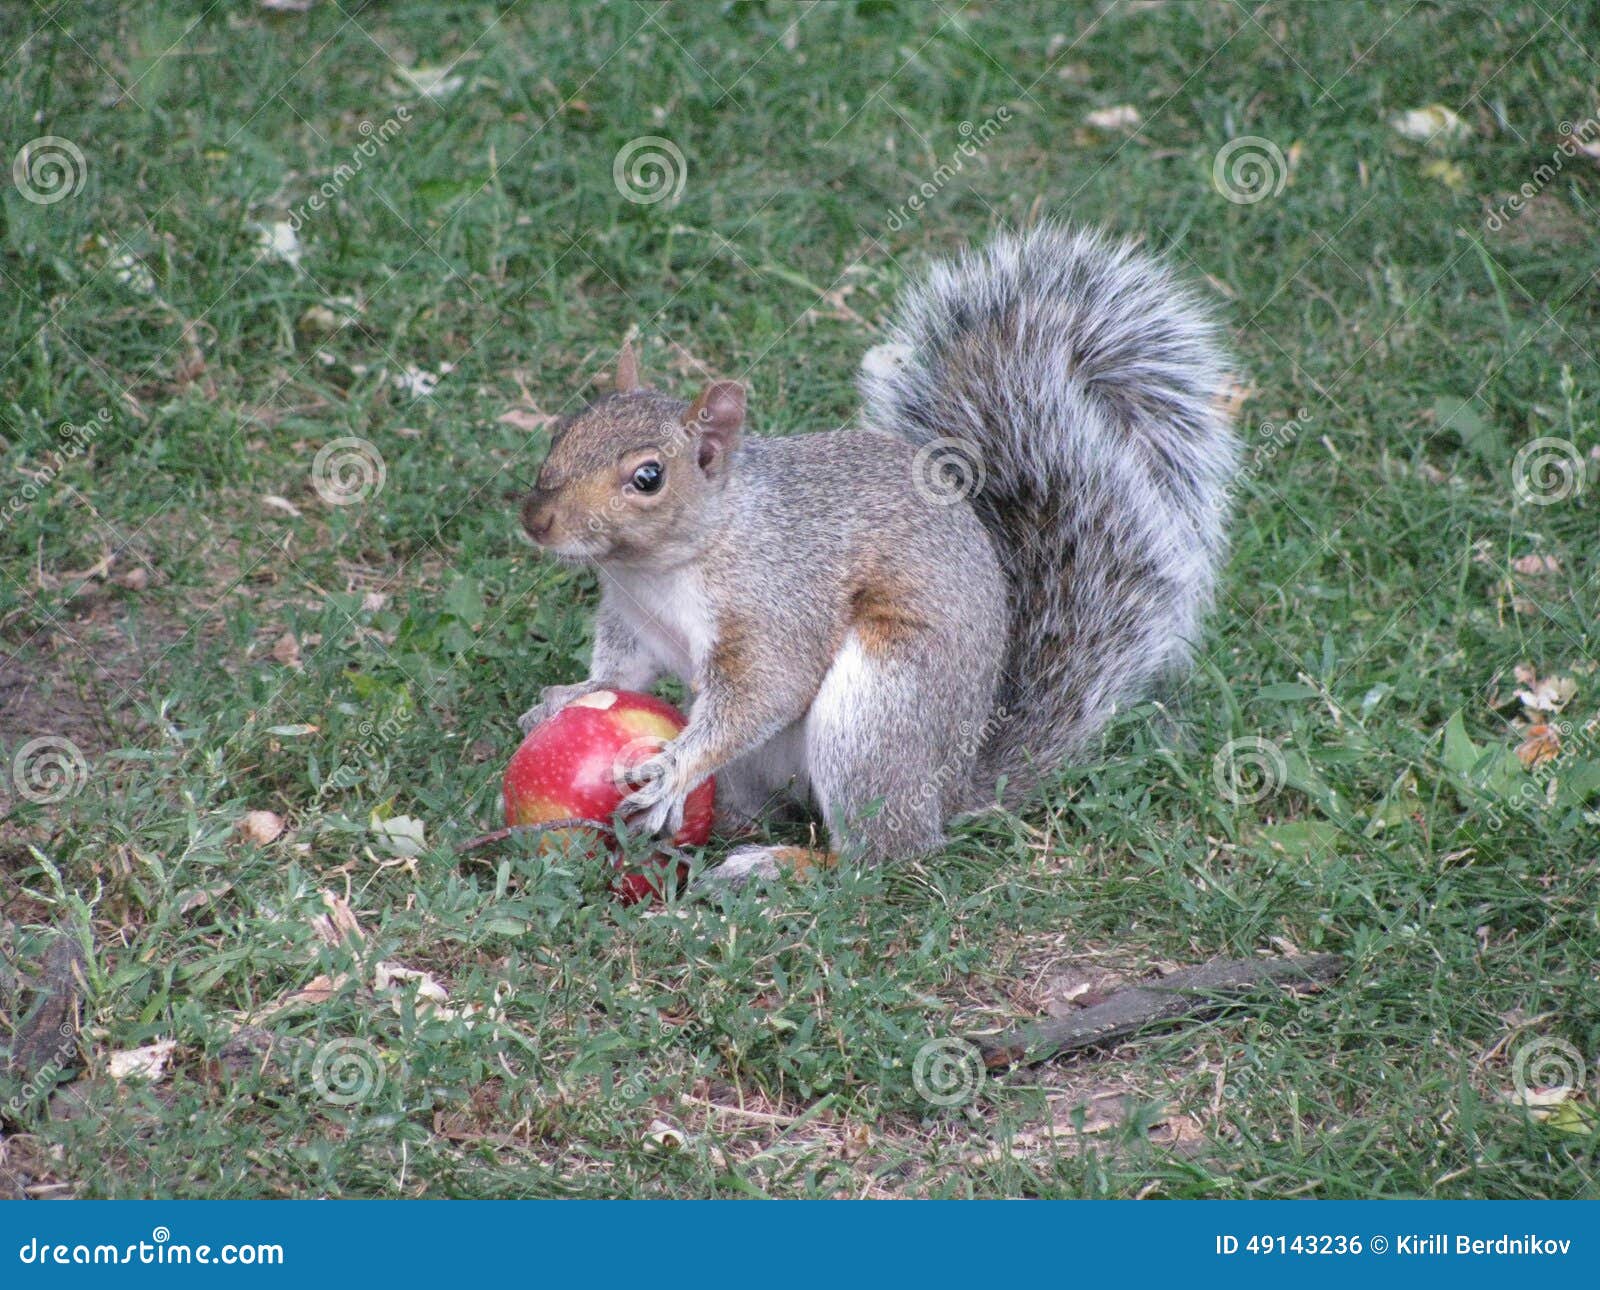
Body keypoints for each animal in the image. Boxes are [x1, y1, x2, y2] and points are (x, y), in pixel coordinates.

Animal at [517, 224, 1239, 884]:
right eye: (565, 429)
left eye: (648, 477)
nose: (536, 521)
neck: (660, 570)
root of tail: (950, 792)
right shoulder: (633, 619)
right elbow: (622, 672)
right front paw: (571, 695)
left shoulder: (776, 601)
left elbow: (763, 692)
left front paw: (672, 770)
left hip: (875, 710)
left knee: (879, 857)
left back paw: (780, 865)